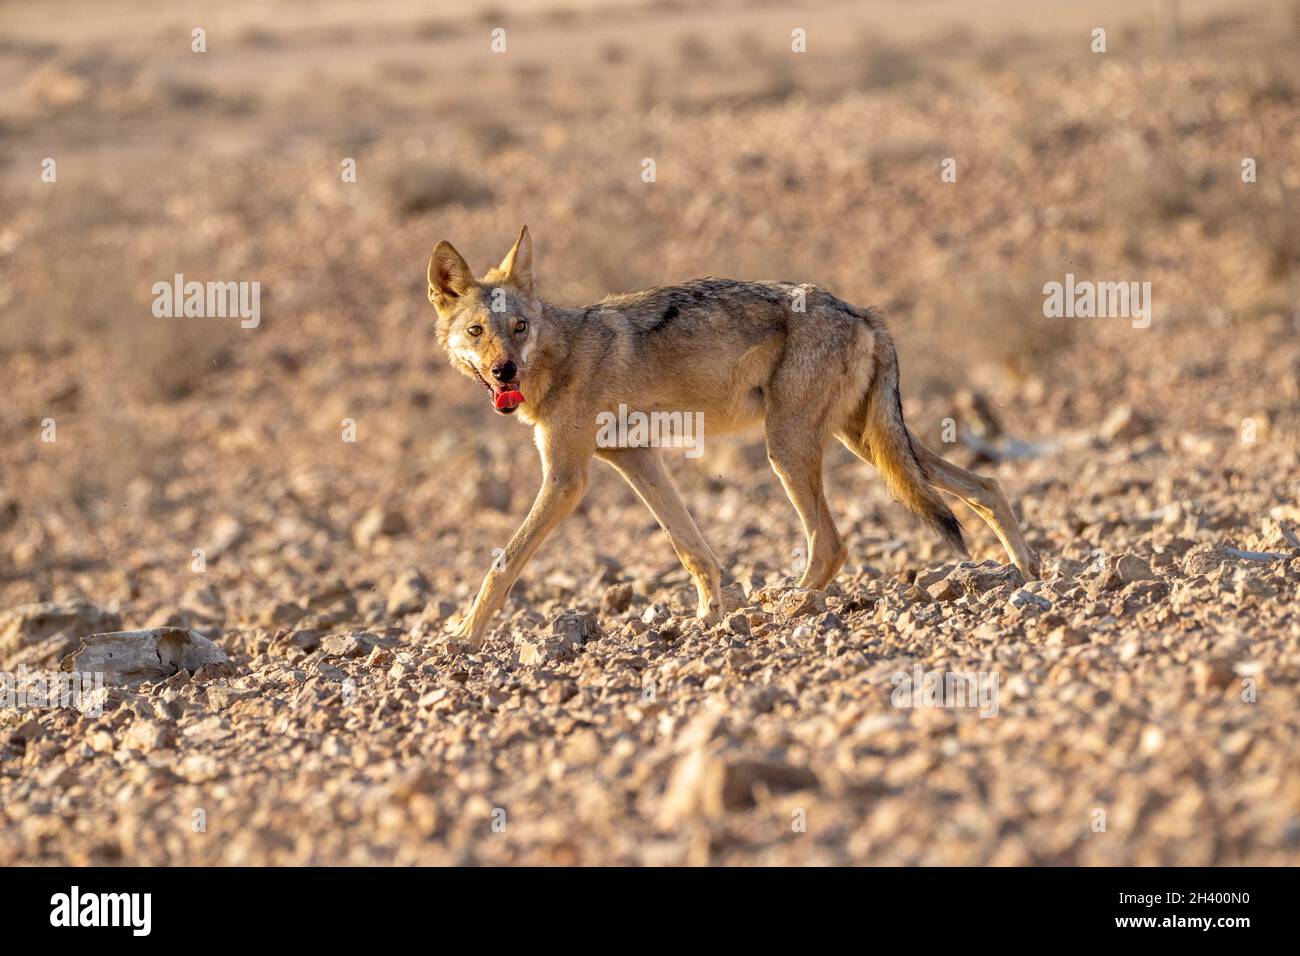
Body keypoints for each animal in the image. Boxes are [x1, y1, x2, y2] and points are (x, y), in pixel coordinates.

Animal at [429, 227, 1040, 647]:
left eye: (520, 327)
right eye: (478, 332)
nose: (505, 370)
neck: (561, 353)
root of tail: (862, 310)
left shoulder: (567, 479)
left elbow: (503, 563)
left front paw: (464, 636)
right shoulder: (635, 458)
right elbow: (693, 549)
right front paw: (707, 617)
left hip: (791, 448)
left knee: (832, 542)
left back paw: (791, 607)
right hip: (867, 443)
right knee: (983, 485)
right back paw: (1027, 573)